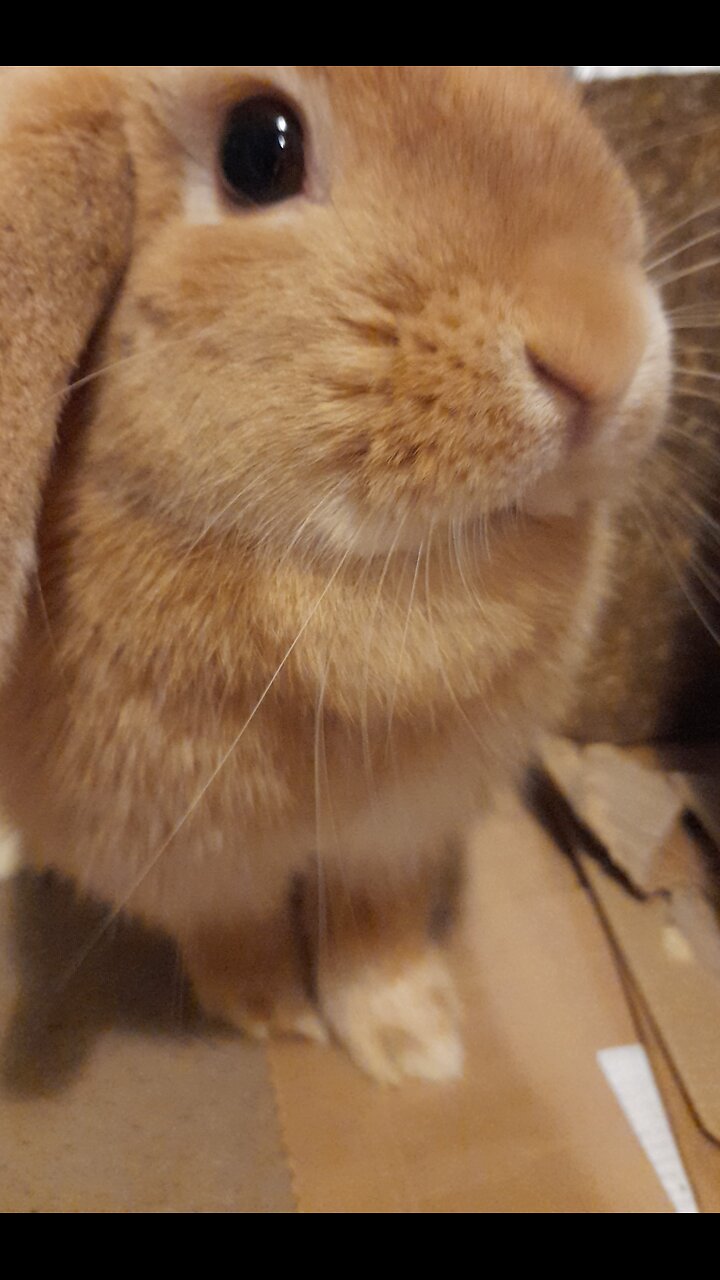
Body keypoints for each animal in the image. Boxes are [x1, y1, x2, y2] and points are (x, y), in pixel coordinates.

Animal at [0, 66, 670, 1084]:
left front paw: (414, 1041)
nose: (602, 347)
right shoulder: (189, 862)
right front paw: (275, 1015)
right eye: (258, 151)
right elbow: (235, 931)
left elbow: (376, 923)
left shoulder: (401, 833)